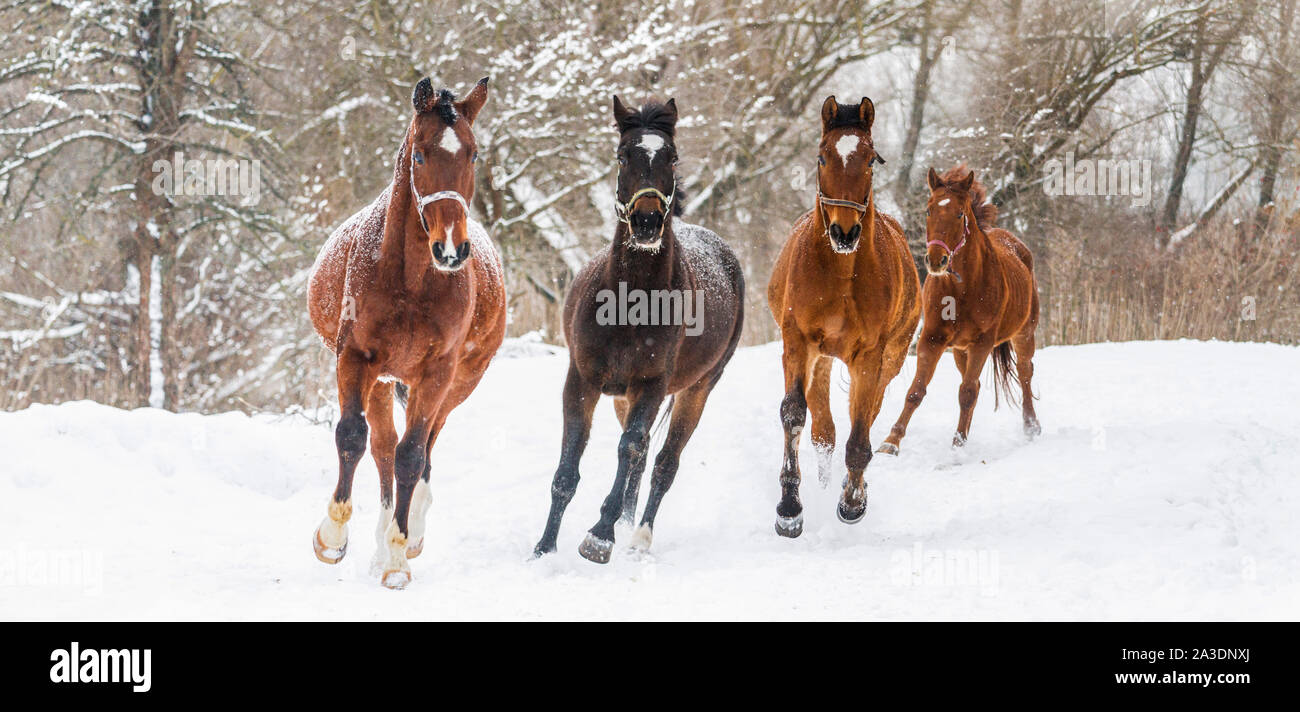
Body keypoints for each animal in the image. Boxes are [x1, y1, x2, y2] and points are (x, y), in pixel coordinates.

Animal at [306, 76, 506, 589]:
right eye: (419, 155)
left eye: (474, 154)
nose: (452, 249)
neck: (412, 280)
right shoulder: (356, 358)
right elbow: (353, 437)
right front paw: (332, 537)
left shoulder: (437, 373)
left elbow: (412, 456)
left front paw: (398, 557)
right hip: (382, 380)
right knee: (380, 449)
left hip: (457, 383)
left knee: (423, 448)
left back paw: (409, 533)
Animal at [532, 97, 745, 563]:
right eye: (622, 155)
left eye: (673, 156)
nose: (647, 223)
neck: (631, 303)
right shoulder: (582, 381)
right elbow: (568, 466)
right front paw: (544, 548)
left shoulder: (652, 385)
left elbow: (629, 449)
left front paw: (599, 536)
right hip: (622, 396)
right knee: (645, 453)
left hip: (696, 389)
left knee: (664, 462)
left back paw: (639, 536)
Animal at [766, 95, 921, 537]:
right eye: (822, 157)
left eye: (870, 160)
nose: (845, 232)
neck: (839, 271)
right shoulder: (797, 343)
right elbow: (794, 415)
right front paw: (789, 507)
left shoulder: (870, 356)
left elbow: (860, 432)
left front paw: (852, 502)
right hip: (819, 359)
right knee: (823, 430)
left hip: (891, 357)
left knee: (863, 417)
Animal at [878, 165, 1039, 452]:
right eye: (929, 210)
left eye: (960, 213)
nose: (936, 260)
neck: (961, 289)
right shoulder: (932, 339)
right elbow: (916, 390)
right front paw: (891, 442)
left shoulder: (982, 343)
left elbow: (966, 393)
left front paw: (957, 446)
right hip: (960, 351)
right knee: (976, 383)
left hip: (1024, 334)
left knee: (1024, 372)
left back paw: (1031, 426)